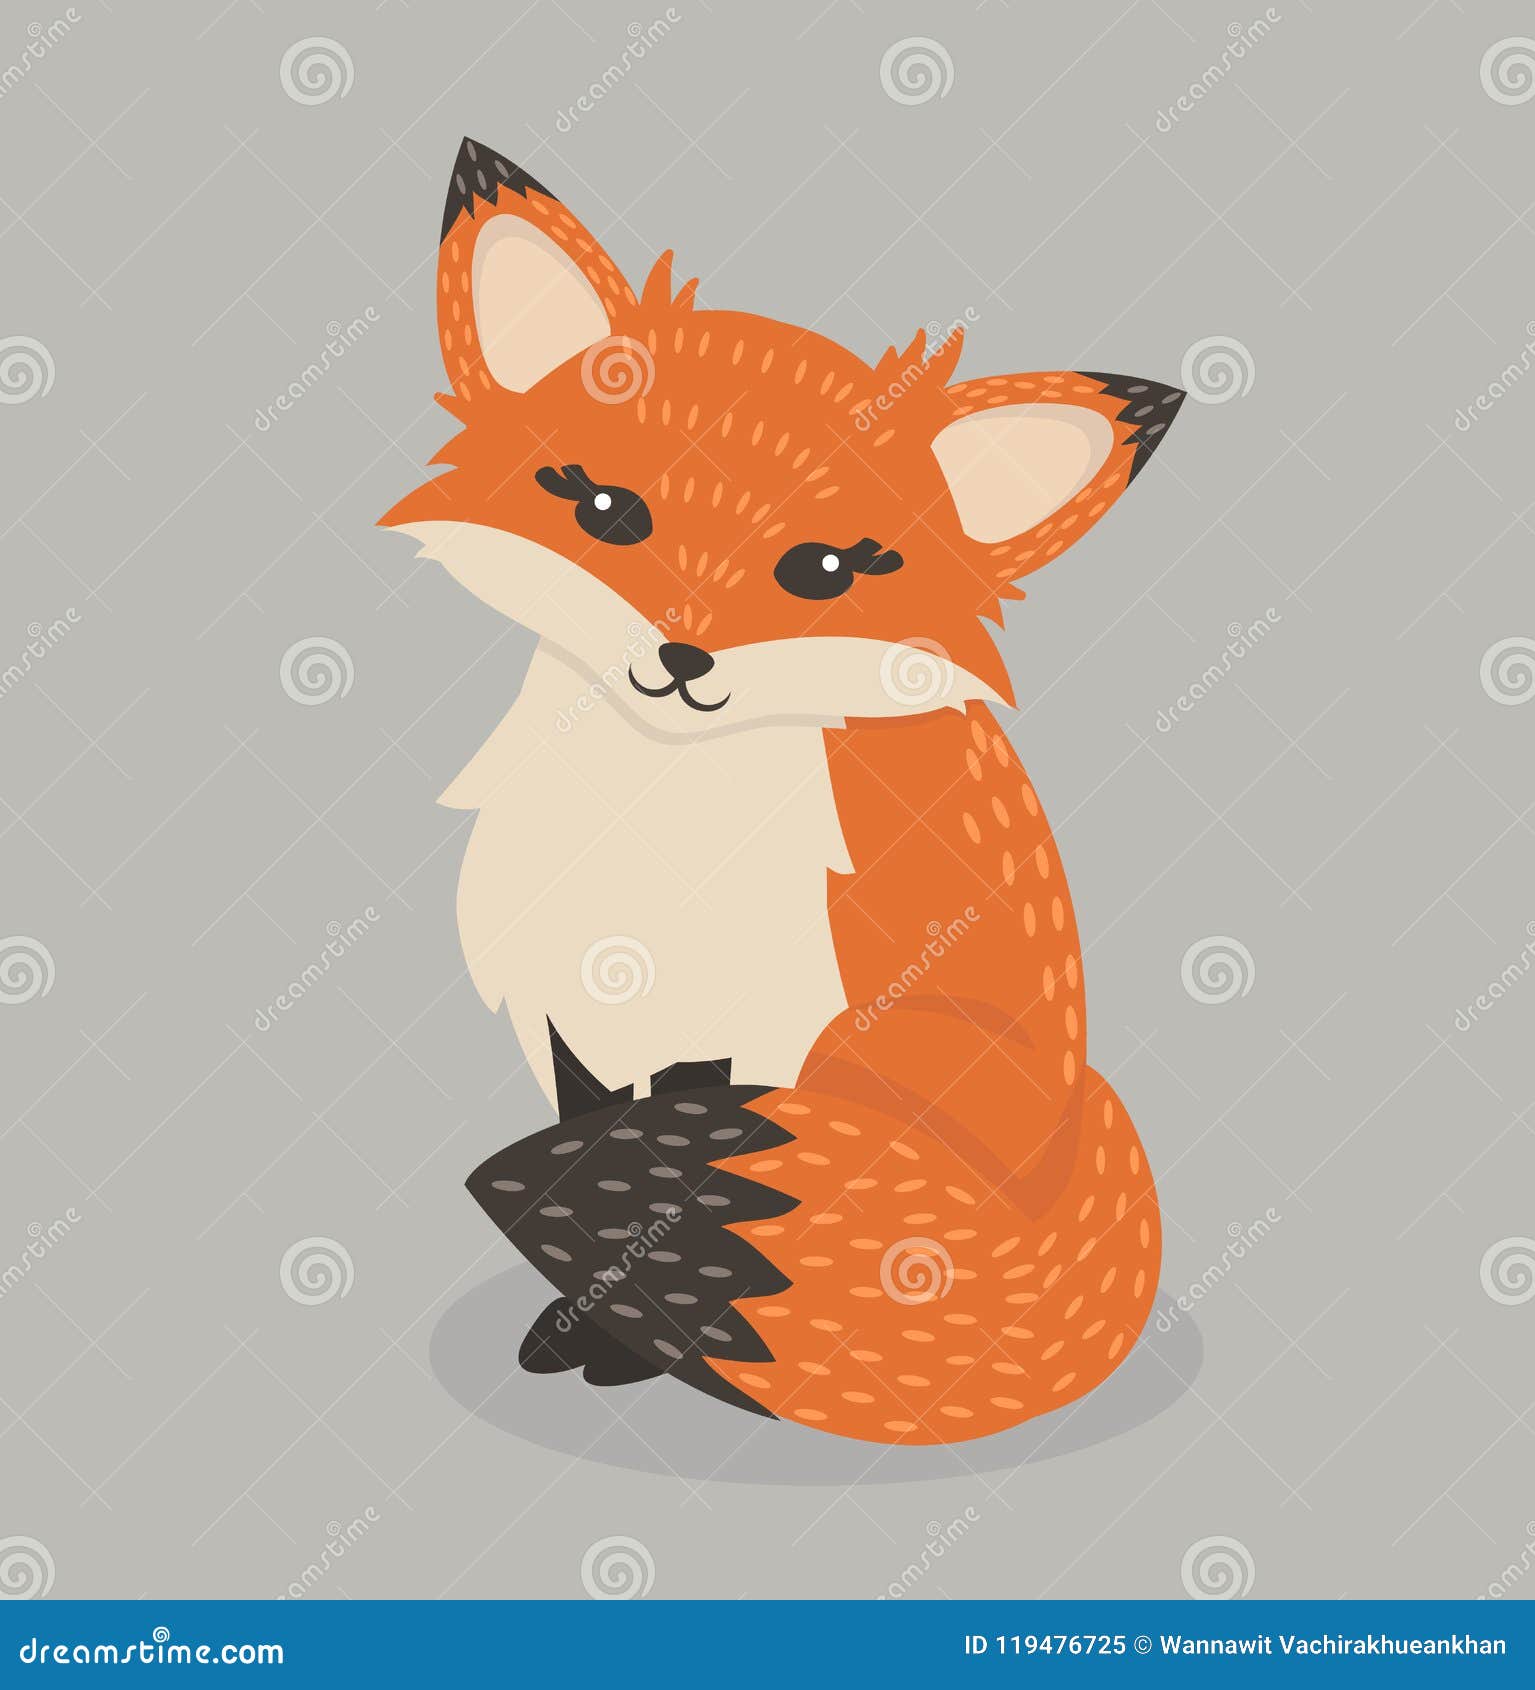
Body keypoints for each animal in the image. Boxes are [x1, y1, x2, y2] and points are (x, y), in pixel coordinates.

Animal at [382, 138, 1185, 1445]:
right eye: (603, 508)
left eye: (820, 570)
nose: (682, 656)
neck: (647, 824)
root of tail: (1071, 1144)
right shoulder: (573, 1008)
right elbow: (580, 1138)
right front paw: (581, 1325)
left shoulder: (741, 1019)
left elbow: (652, 1172)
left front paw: (616, 1350)